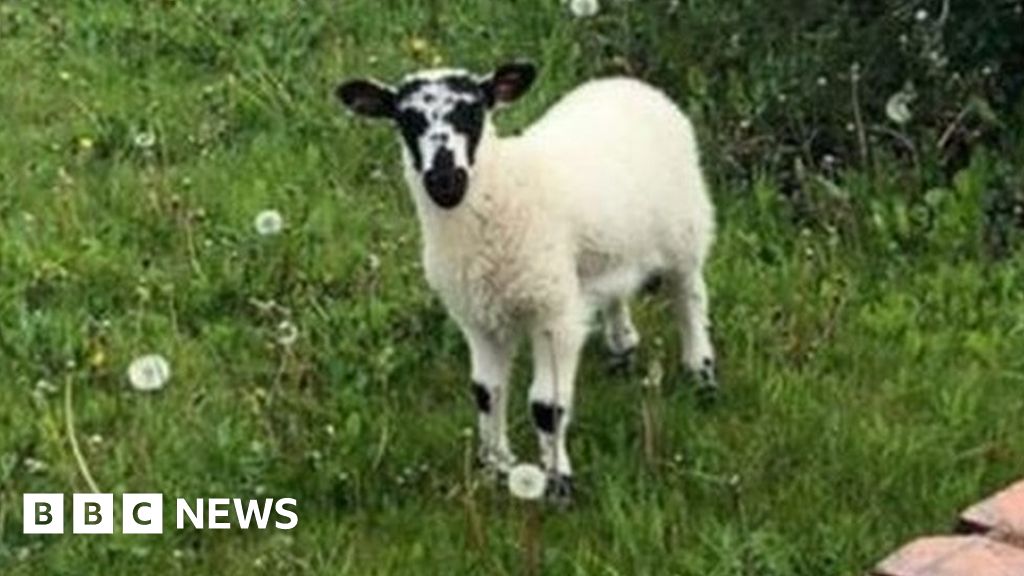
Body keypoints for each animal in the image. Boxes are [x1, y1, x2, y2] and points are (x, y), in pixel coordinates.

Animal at [336, 61, 717, 501]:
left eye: (474, 111)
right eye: (405, 119)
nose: (445, 180)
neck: (504, 189)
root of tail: (627, 83)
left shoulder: (553, 314)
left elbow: (546, 407)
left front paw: (558, 483)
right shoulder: (478, 318)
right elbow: (486, 391)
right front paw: (495, 466)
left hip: (684, 230)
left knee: (690, 299)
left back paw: (702, 374)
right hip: (605, 251)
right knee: (615, 293)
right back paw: (623, 349)